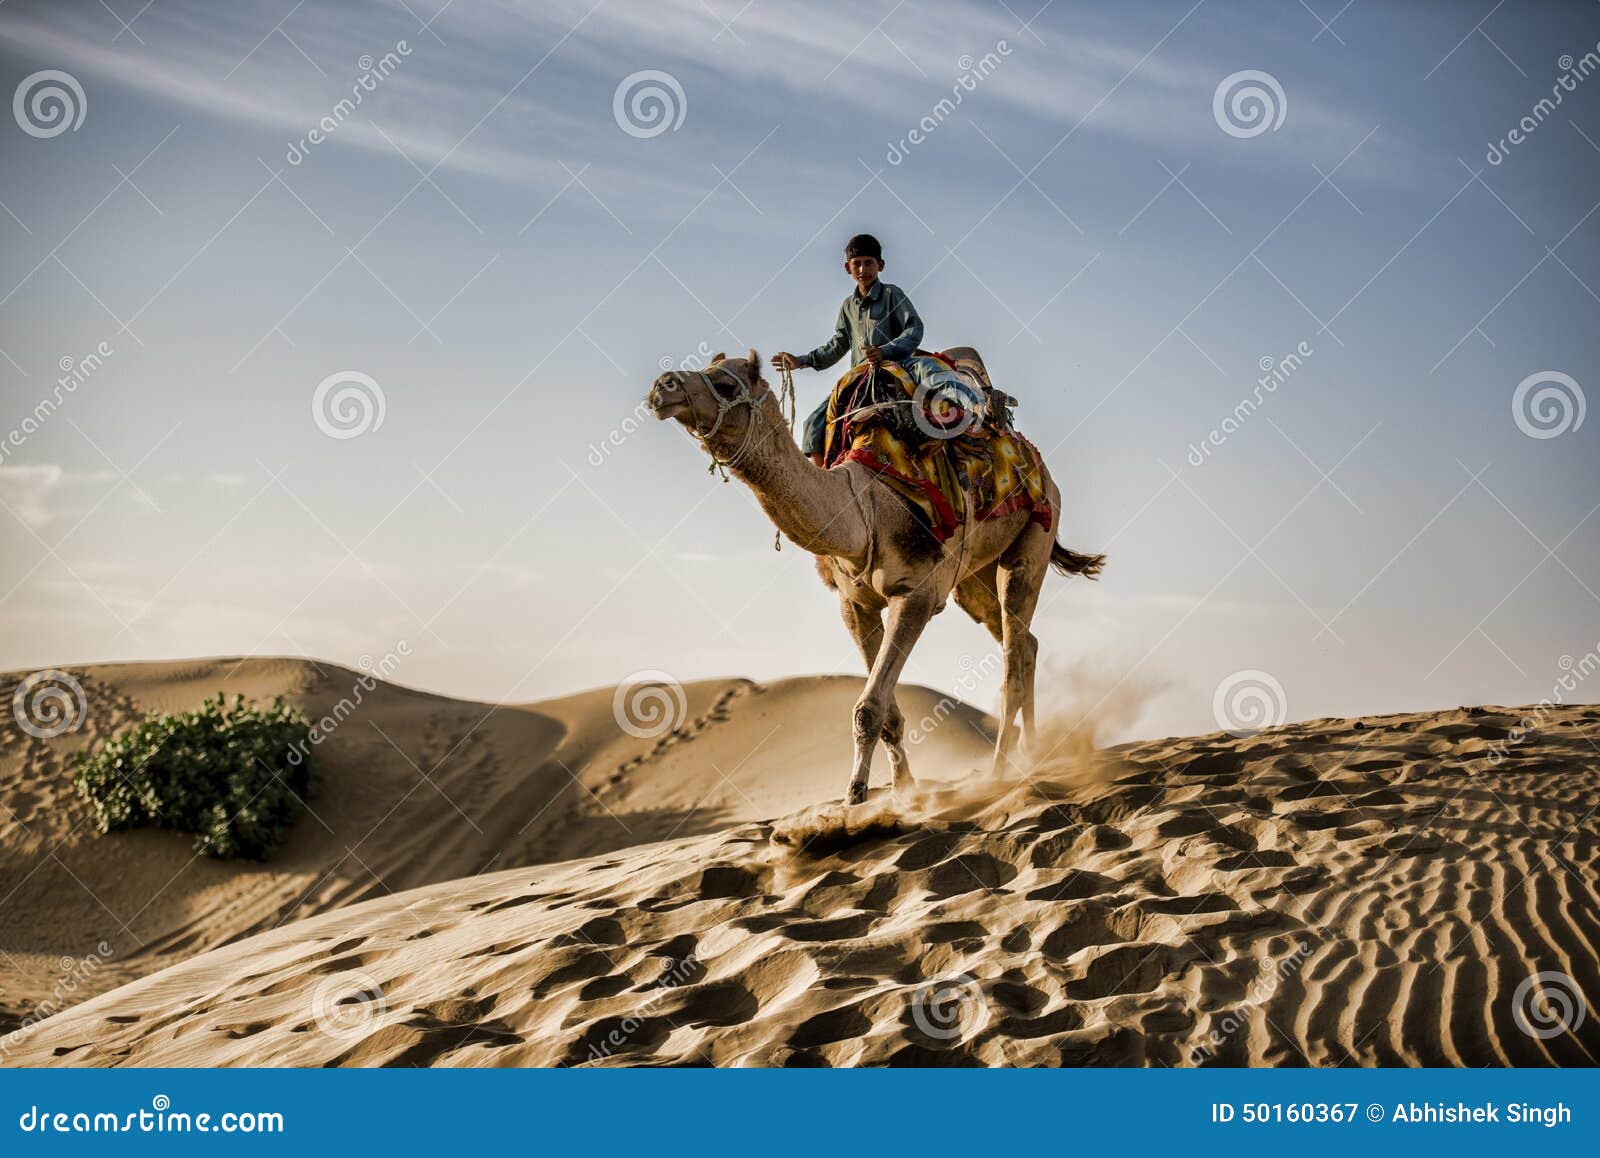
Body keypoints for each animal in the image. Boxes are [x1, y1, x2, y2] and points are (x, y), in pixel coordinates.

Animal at [647, 349, 1104, 805]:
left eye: (726, 385)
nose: (663, 386)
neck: (862, 508)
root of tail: (1043, 471)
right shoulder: (855, 605)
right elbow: (886, 711)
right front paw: (902, 789)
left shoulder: (915, 595)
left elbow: (868, 707)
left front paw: (855, 796)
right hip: (973, 580)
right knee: (1025, 642)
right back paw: (1034, 753)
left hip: (1034, 536)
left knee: (1012, 656)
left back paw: (1000, 771)